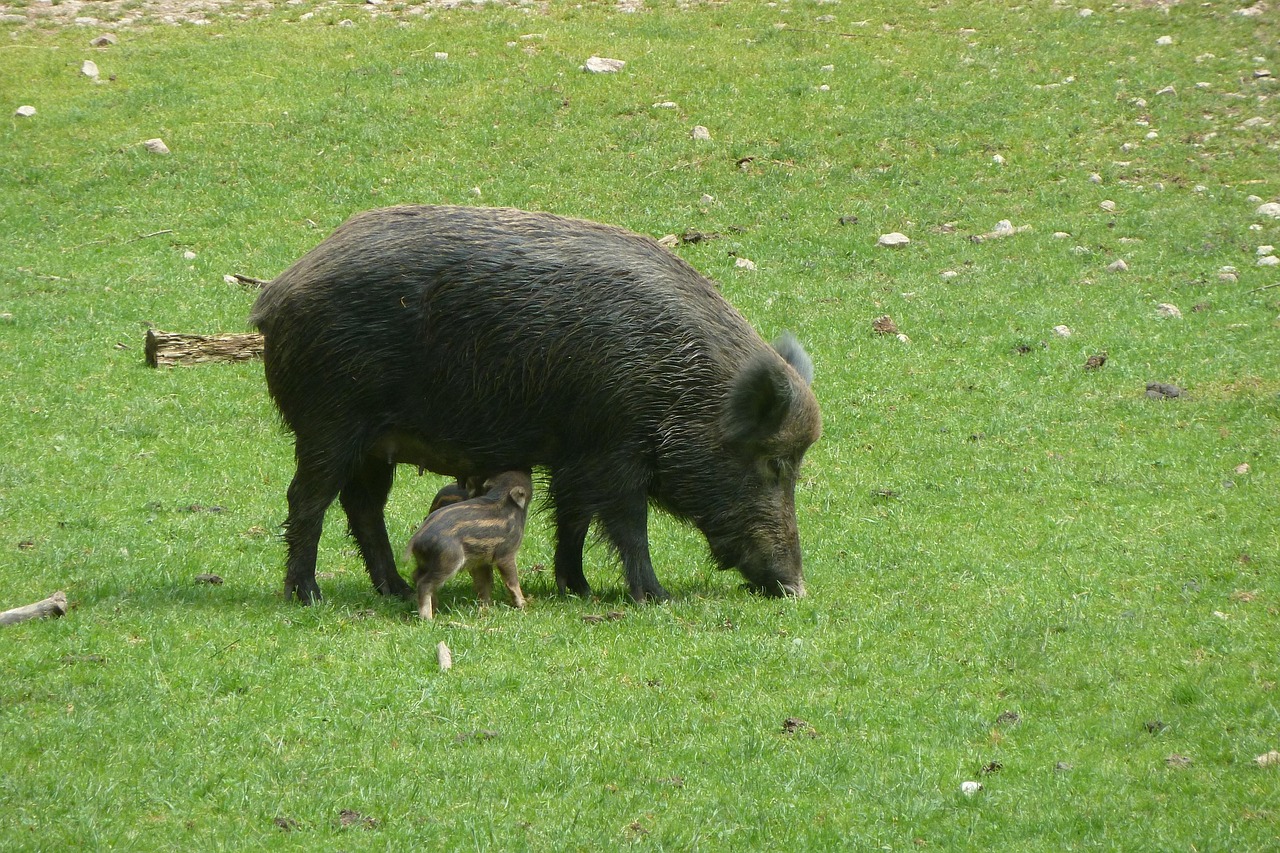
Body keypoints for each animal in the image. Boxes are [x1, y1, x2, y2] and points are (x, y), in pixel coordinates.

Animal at [408, 470, 532, 619]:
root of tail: (416, 540)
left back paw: (435, 608)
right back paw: (427, 618)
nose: (529, 470)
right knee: (424, 583)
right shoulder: (506, 553)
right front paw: (523, 605)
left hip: (424, 562)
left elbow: (484, 584)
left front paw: (486, 609)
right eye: (526, 478)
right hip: (448, 561)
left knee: (416, 576)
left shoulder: (481, 561)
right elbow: (512, 581)